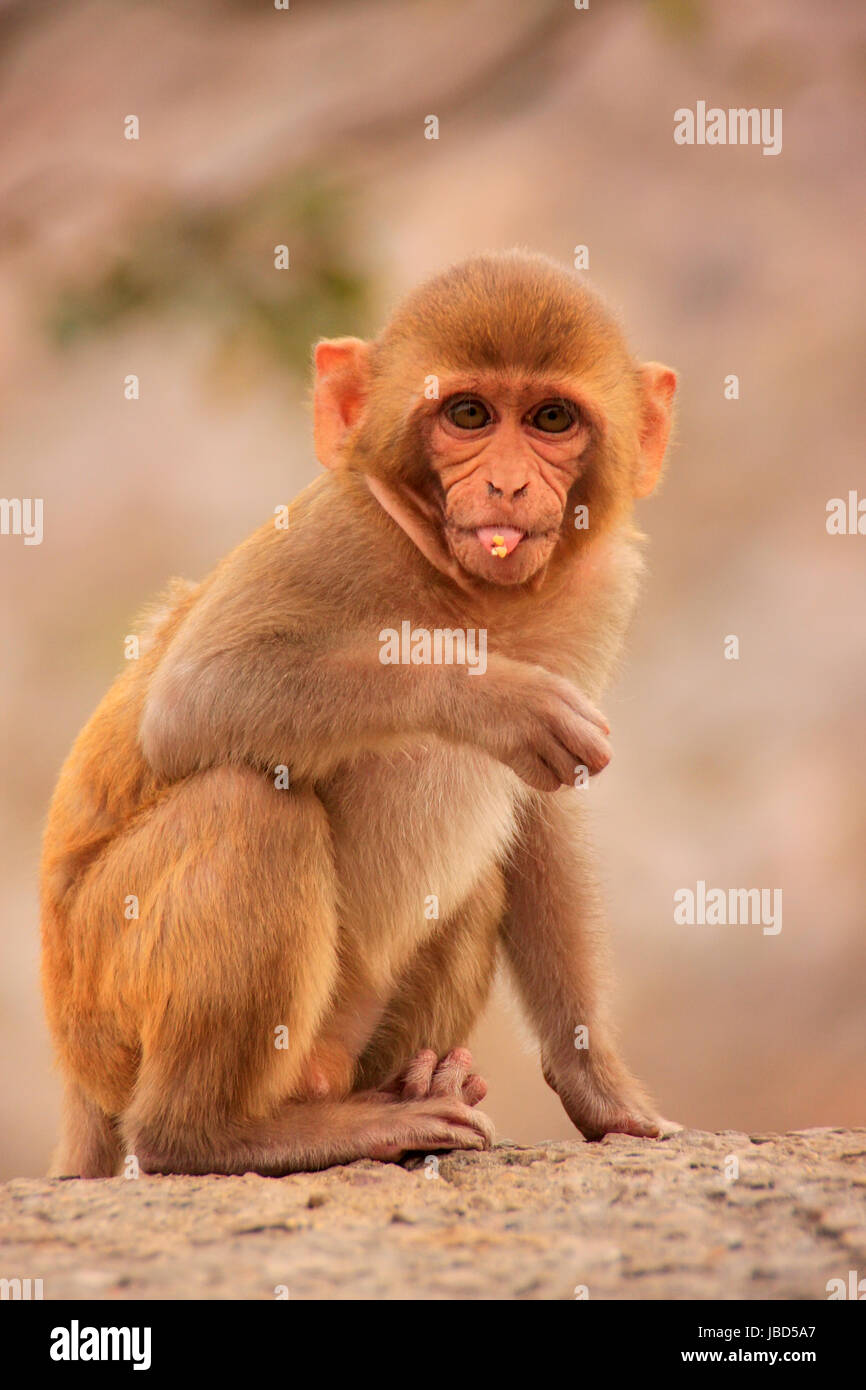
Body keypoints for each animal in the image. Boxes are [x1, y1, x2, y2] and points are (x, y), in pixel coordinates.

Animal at [40, 249, 677, 1178]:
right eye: (469, 414)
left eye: (551, 418)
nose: (509, 484)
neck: (463, 591)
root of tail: (75, 1079)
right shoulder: (332, 536)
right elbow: (195, 697)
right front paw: (486, 692)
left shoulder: (597, 592)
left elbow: (539, 815)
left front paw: (601, 1088)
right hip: (103, 1002)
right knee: (249, 803)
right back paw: (216, 1133)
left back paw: (412, 1091)